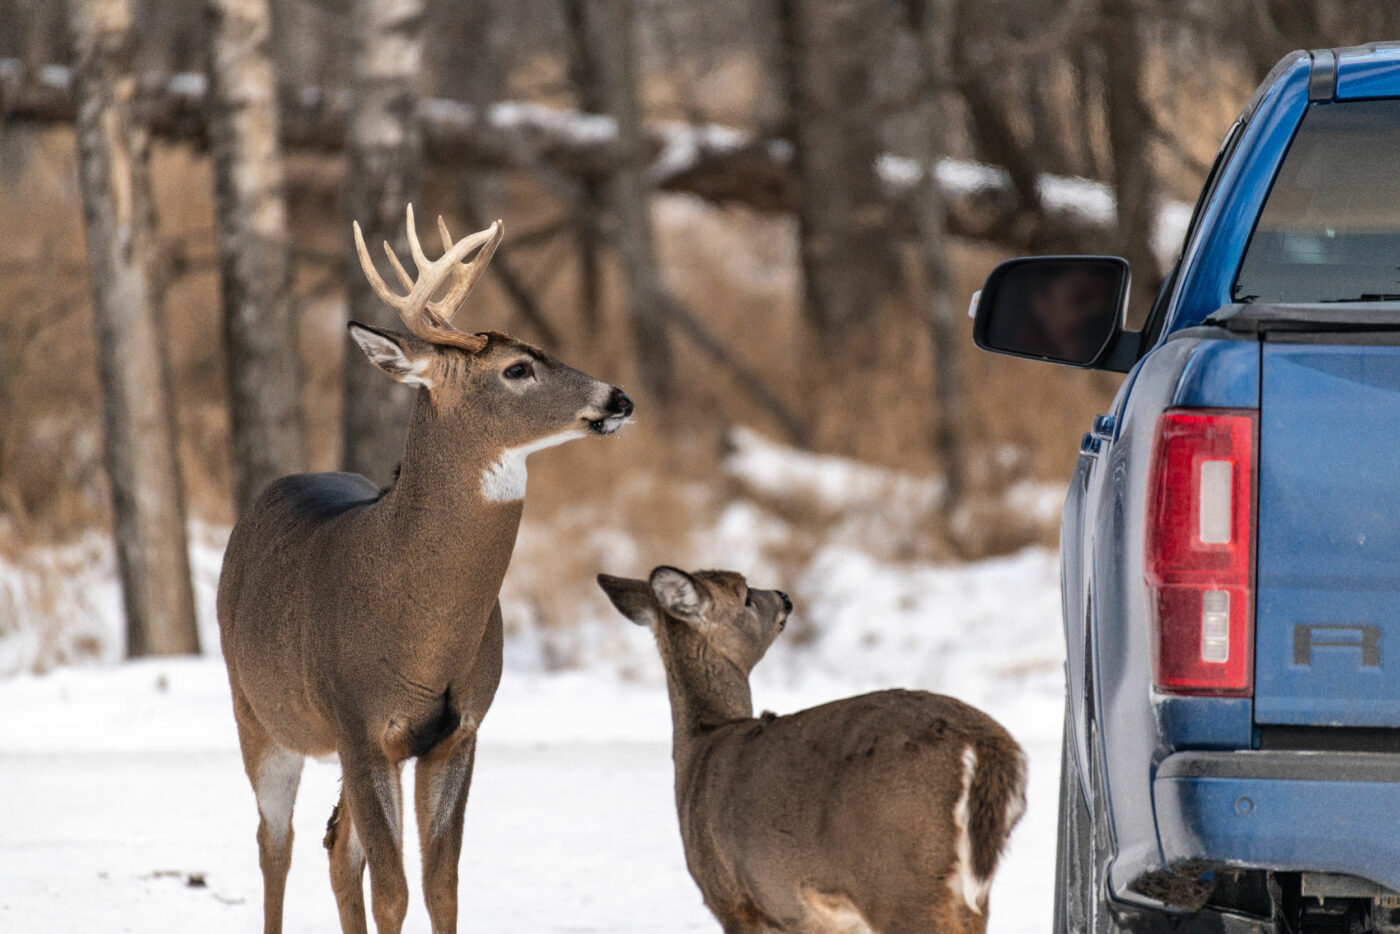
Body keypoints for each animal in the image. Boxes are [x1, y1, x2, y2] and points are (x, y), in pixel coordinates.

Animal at [217, 205, 634, 934]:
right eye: (518, 368)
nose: (618, 399)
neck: (420, 620)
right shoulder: (359, 724)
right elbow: (394, 889)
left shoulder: (458, 731)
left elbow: (442, 886)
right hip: (257, 711)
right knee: (276, 843)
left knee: (335, 846)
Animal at [598, 566, 1026, 934]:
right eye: (745, 597)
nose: (784, 597)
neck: (702, 745)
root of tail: (986, 745)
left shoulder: (732, 897)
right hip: (961, 892)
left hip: (901, 878)